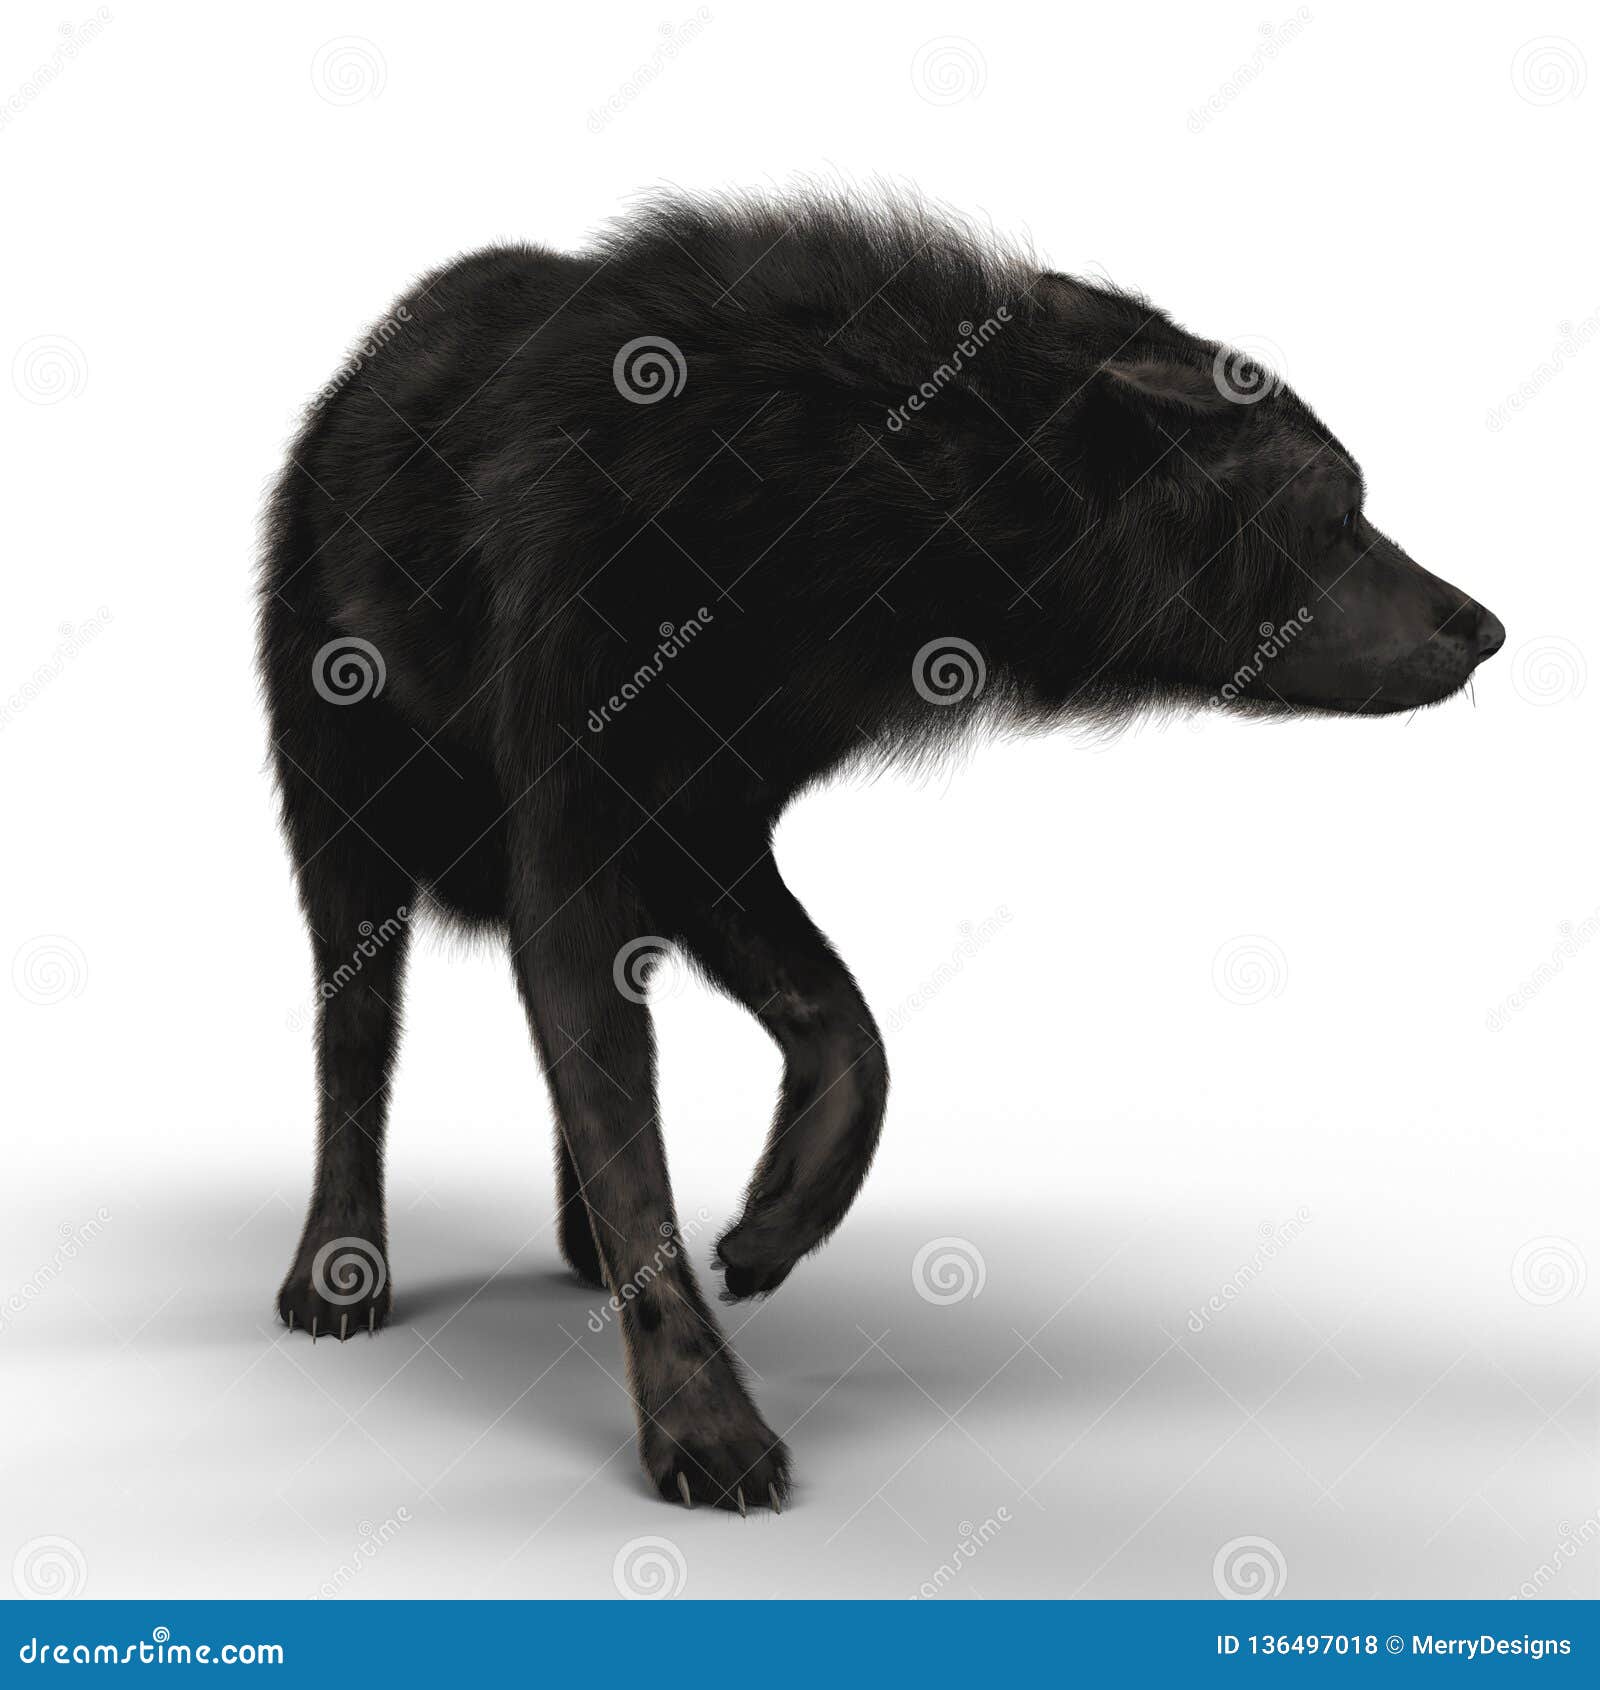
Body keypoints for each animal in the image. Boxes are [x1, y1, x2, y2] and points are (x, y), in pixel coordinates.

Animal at [259, 191, 1503, 1512]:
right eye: (1337, 514)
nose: (1490, 628)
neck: (832, 482)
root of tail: (359, 372)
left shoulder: (704, 828)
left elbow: (849, 1032)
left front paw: (773, 1222)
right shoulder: (586, 839)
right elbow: (629, 1140)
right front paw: (704, 1427)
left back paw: (578, 1246)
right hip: (346, 843)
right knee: (354, 1050)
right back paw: (339, 1268)